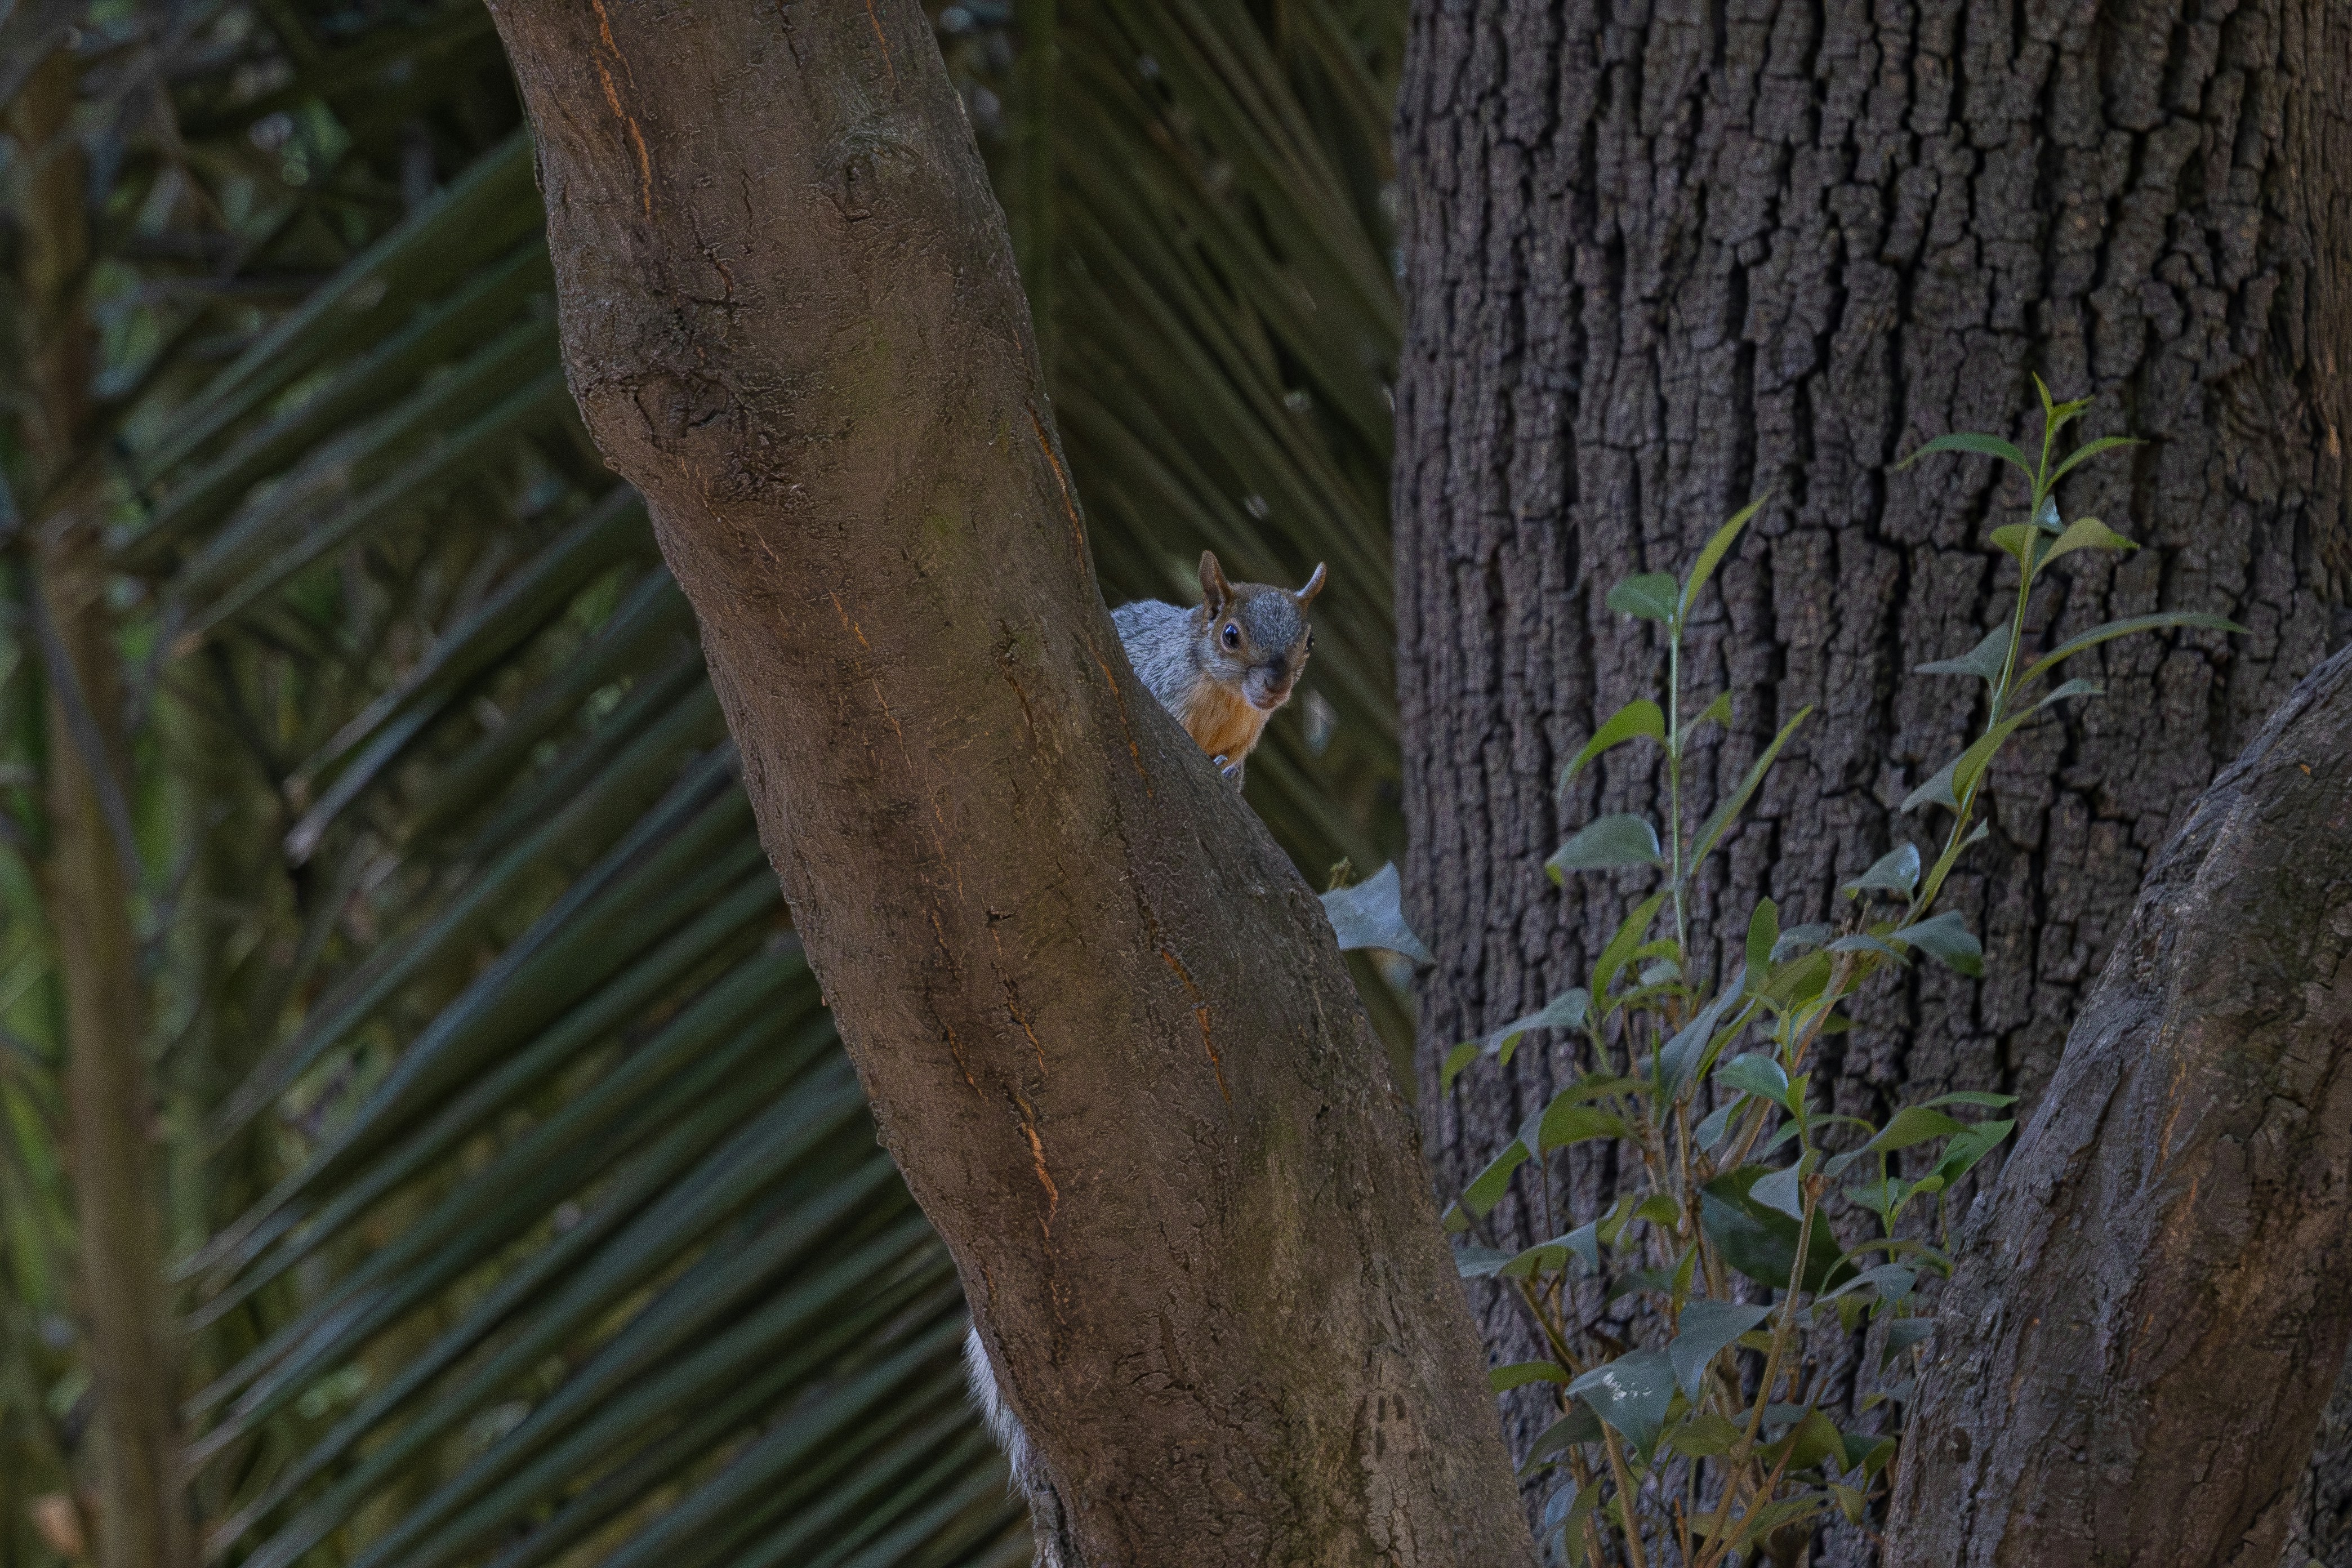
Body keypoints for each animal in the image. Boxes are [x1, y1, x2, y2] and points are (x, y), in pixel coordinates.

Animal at [1110, 549, 1326, 787]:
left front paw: (1231, 773)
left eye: (1310, 642)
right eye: (1230, 636)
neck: (1229, 697)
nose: (1277, 686)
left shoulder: (1244, 737)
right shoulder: (1162, 689)